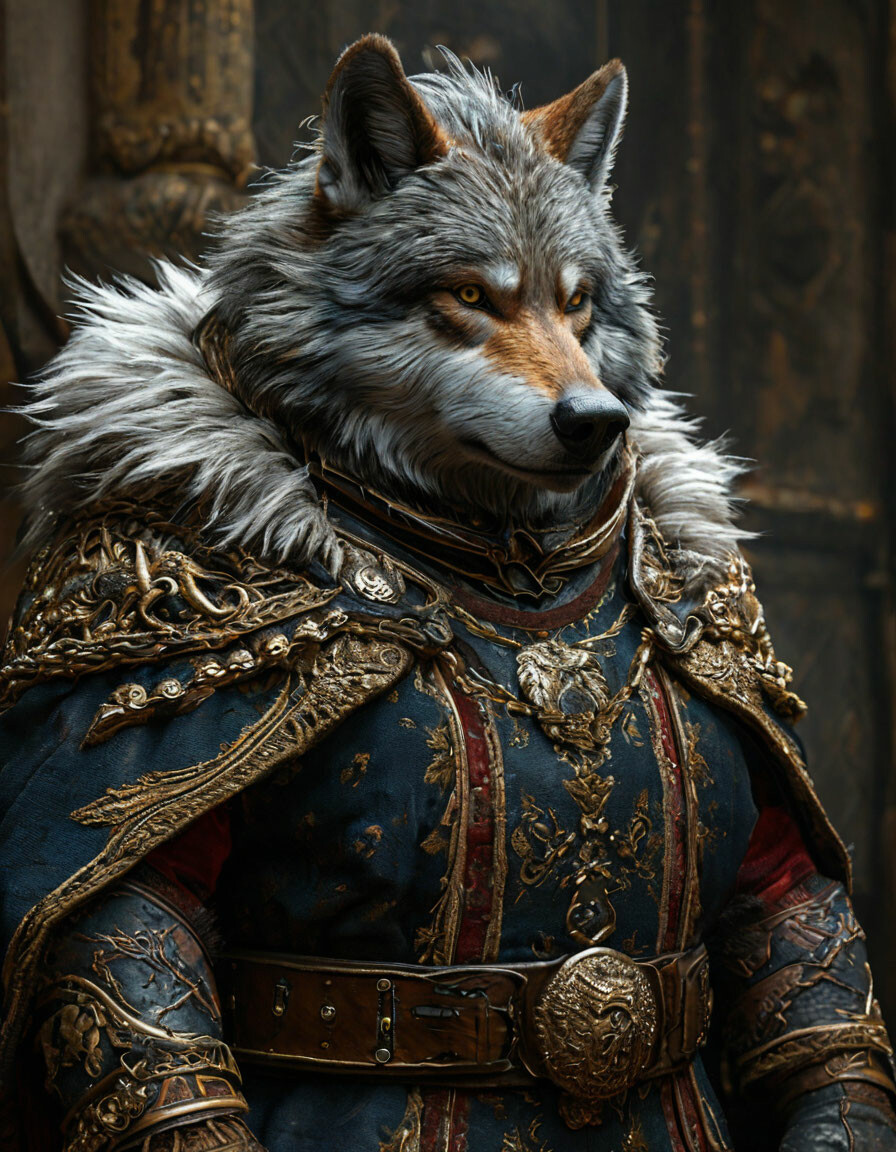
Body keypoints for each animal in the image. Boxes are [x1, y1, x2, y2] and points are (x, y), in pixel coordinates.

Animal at [2, 33, 894, 1152]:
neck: (512, 566)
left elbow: (802, 946)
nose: (596, 423)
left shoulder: (769, 820)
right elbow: (133, 949)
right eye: (472, 295)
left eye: (576, 301)